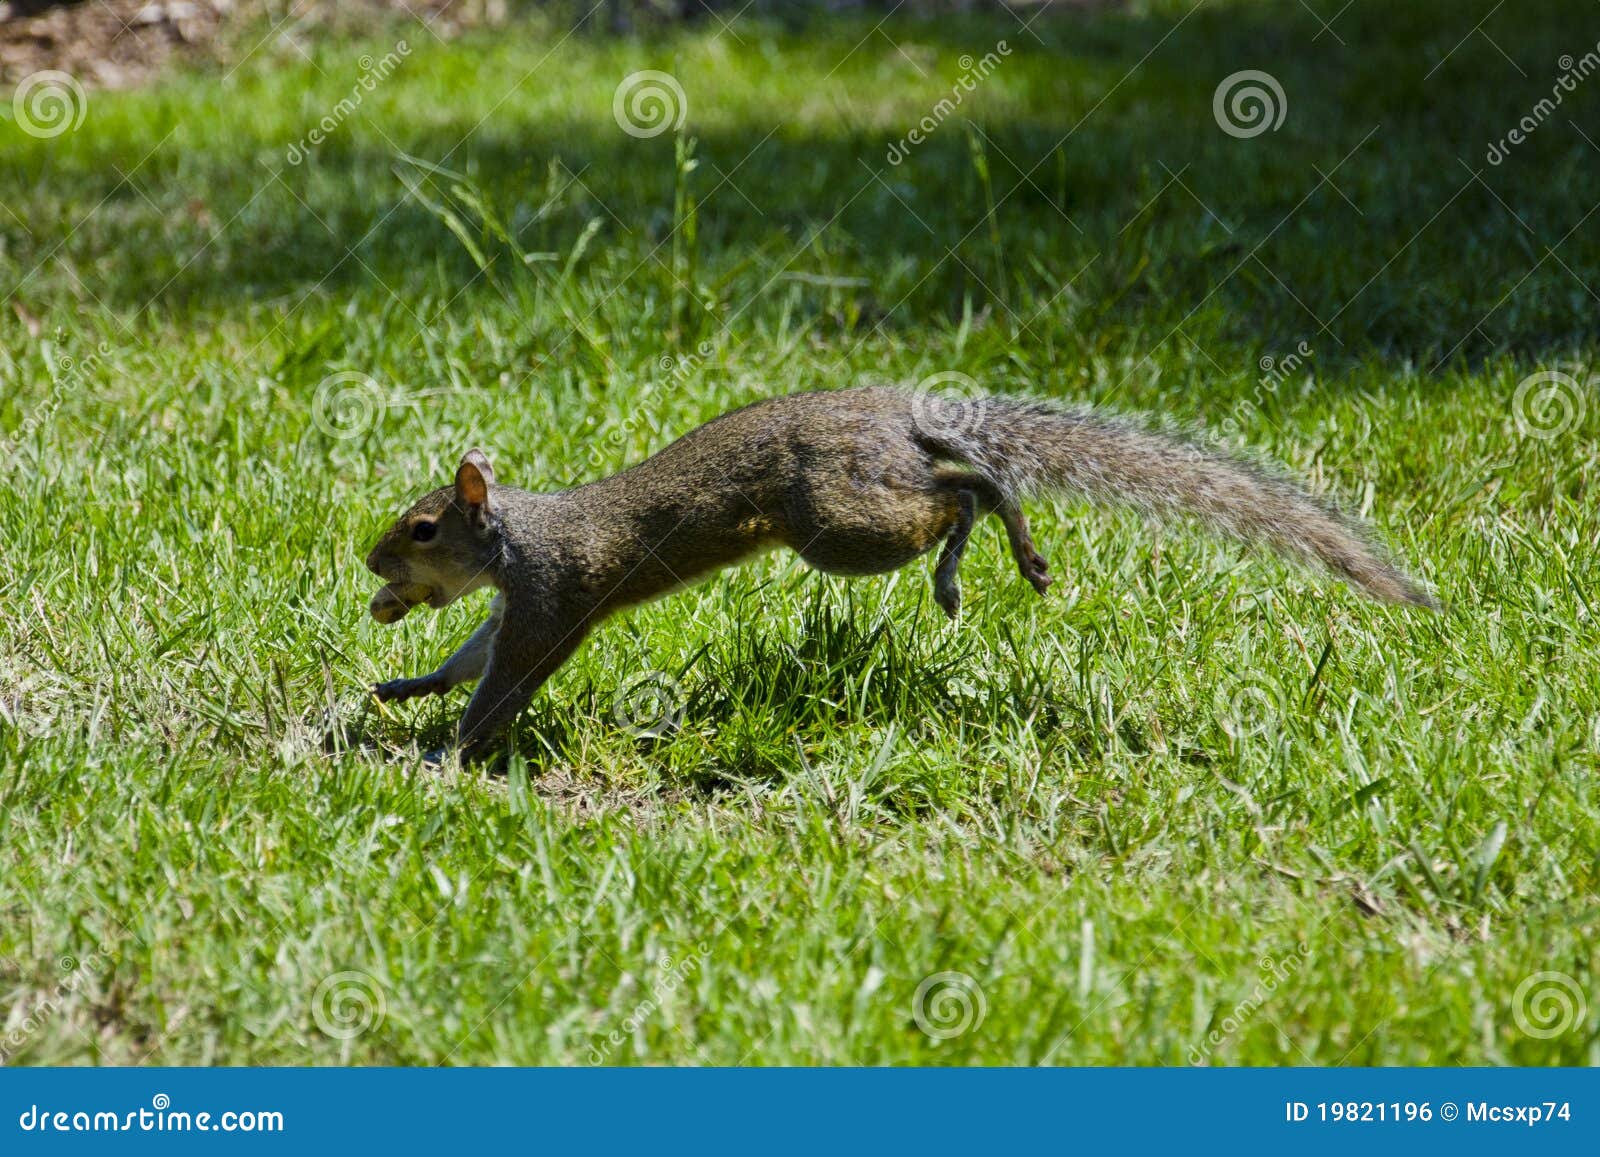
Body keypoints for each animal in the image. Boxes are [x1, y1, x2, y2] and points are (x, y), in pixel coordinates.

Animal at [365, 385, 1435, 761]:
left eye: (422, 528)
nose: (370, 569)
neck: (516, 536)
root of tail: (898, 415)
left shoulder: (551, 599)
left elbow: (503, 683)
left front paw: (447, 755)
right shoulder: (515, 607)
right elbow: (472, 655)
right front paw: (411, 683)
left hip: (840, 528)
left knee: (964, 491)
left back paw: (985, 551)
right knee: (959, 481)